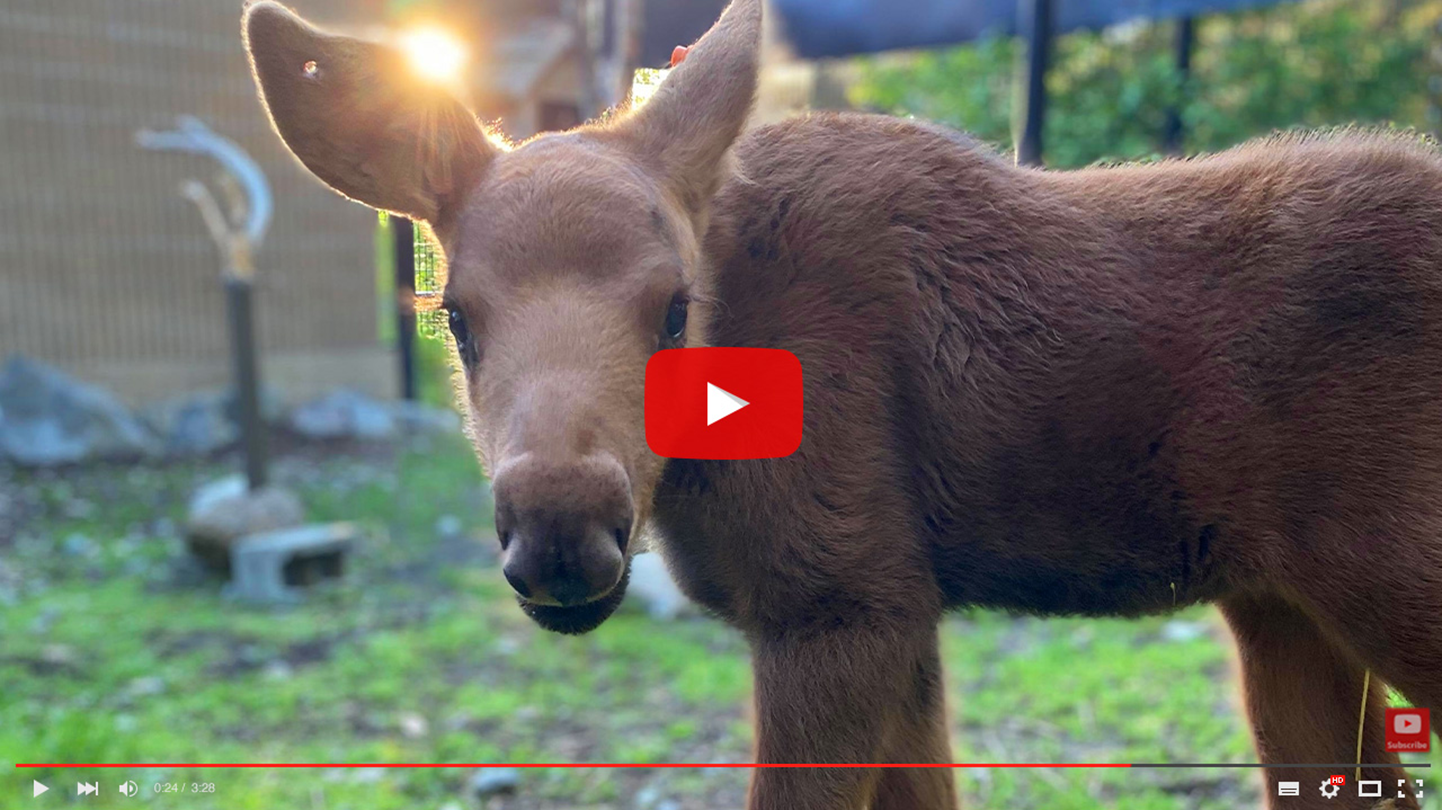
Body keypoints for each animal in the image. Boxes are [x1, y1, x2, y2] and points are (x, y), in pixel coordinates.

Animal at [242, 0, 1442, 807]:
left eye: (674, 307)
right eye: (456, 318)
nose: (559, 533)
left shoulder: (838, 602)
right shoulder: (898, 609)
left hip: (1385, 577)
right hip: (1281, 608)